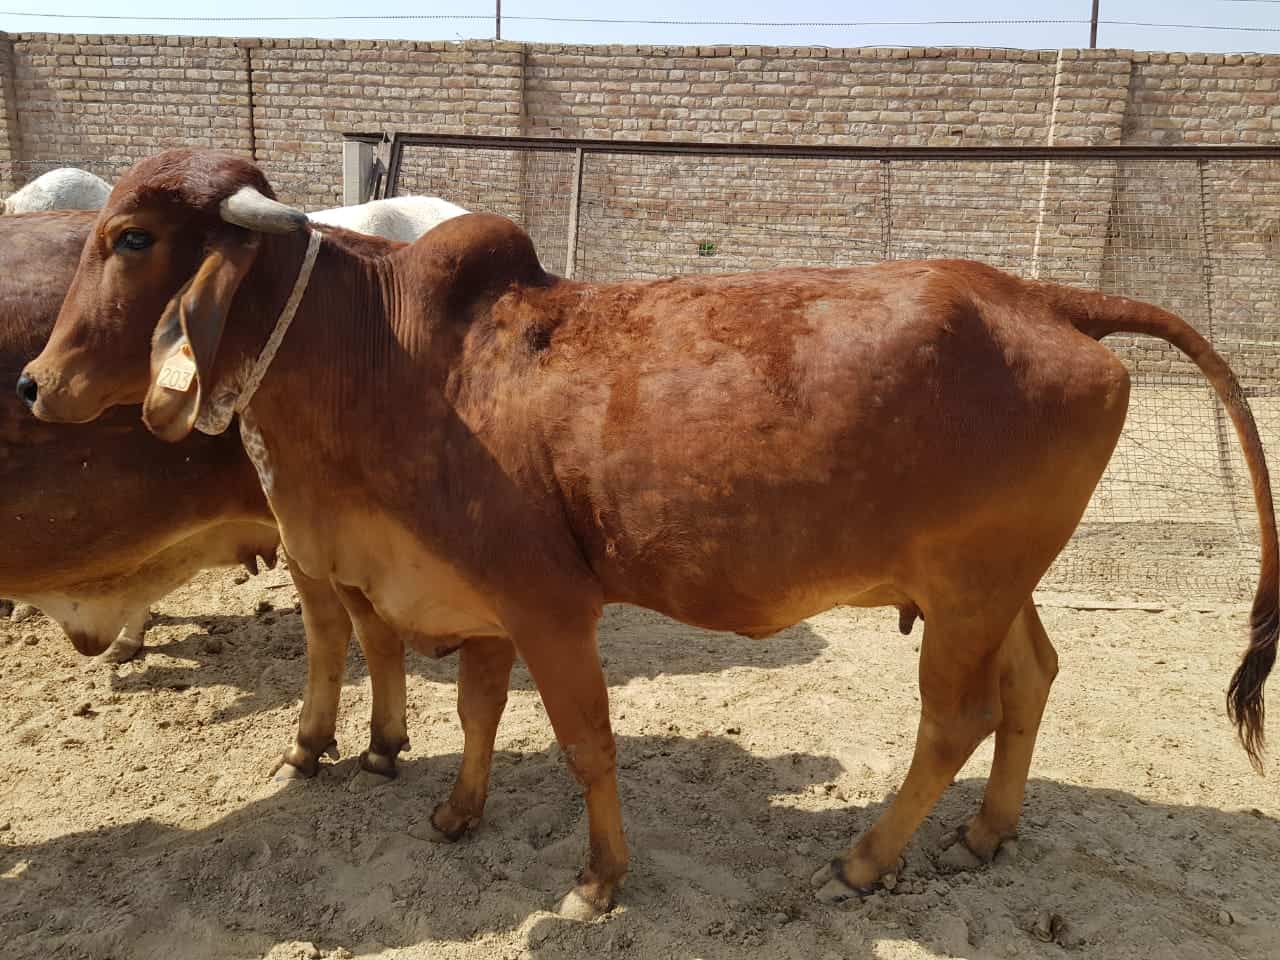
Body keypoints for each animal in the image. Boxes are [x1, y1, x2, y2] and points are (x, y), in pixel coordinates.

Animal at [19, 149, 1277, 921]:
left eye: (130, 239)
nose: (32, 383)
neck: (390, 362)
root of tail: (1041, 297)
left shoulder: (546, 603)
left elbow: (588, 744)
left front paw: (598, 879)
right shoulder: (469, 601)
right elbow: (476, 712)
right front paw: (456, 810)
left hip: (964, 594)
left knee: (952, 720)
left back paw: (867, 857)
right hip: (992, 586)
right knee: (1031, 682)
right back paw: (983, 836)